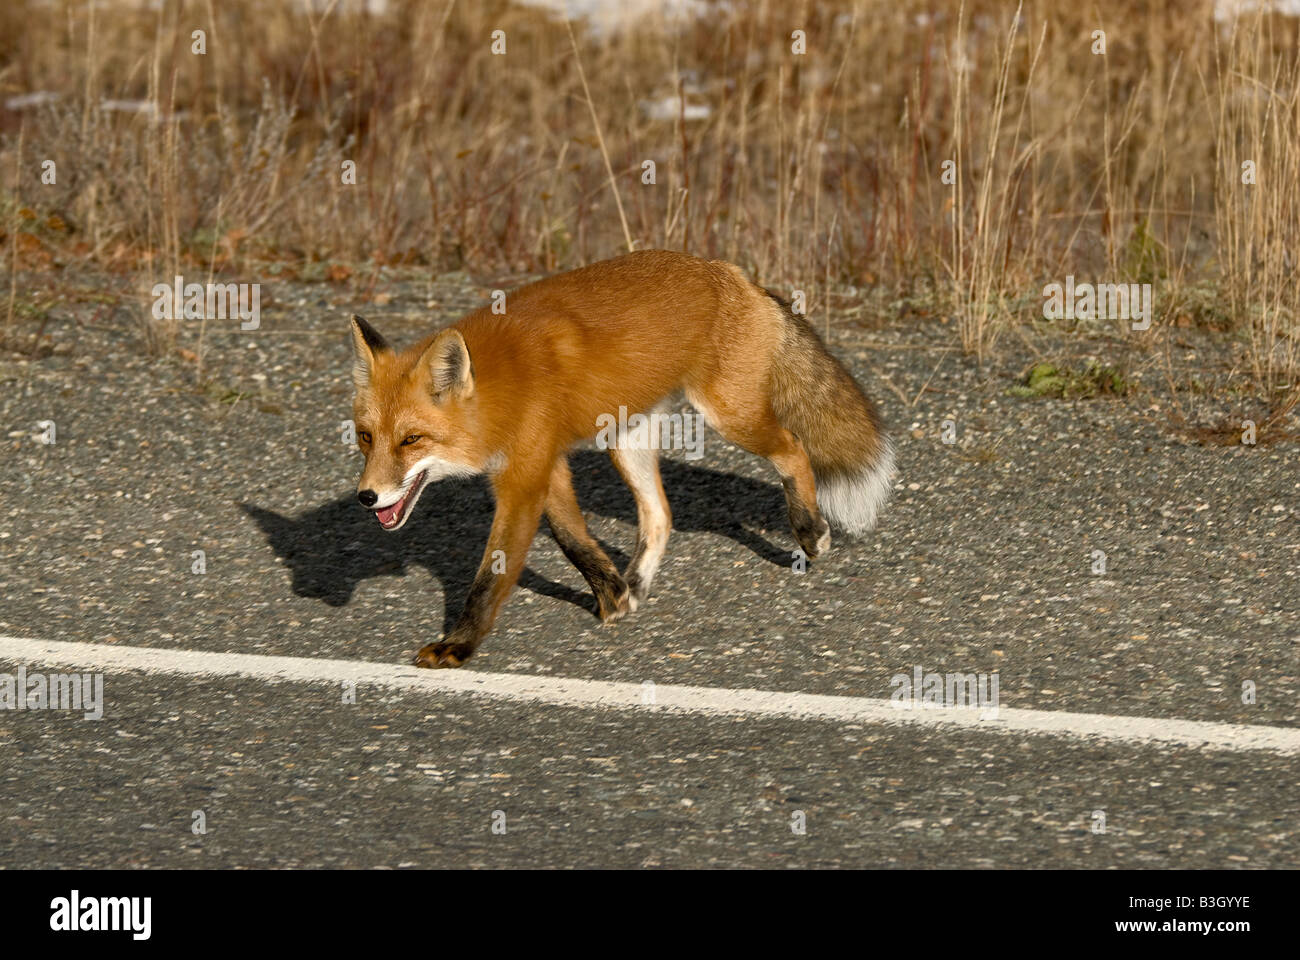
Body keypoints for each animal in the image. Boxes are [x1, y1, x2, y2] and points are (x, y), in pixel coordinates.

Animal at [348, 249, 894, 668]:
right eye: (366, 438)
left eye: (412, 440)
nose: (365, 497)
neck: (503, 386)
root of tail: (731, 273)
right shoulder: (545, 466)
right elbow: (574, 540)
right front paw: (614, 595)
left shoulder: (524, 479)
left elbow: (491, 578)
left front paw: (458, 646)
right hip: (626, 443)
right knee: (661, 515)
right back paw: (637, 580)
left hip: (729, 415)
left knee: (794, 450)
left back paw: (810, 531)